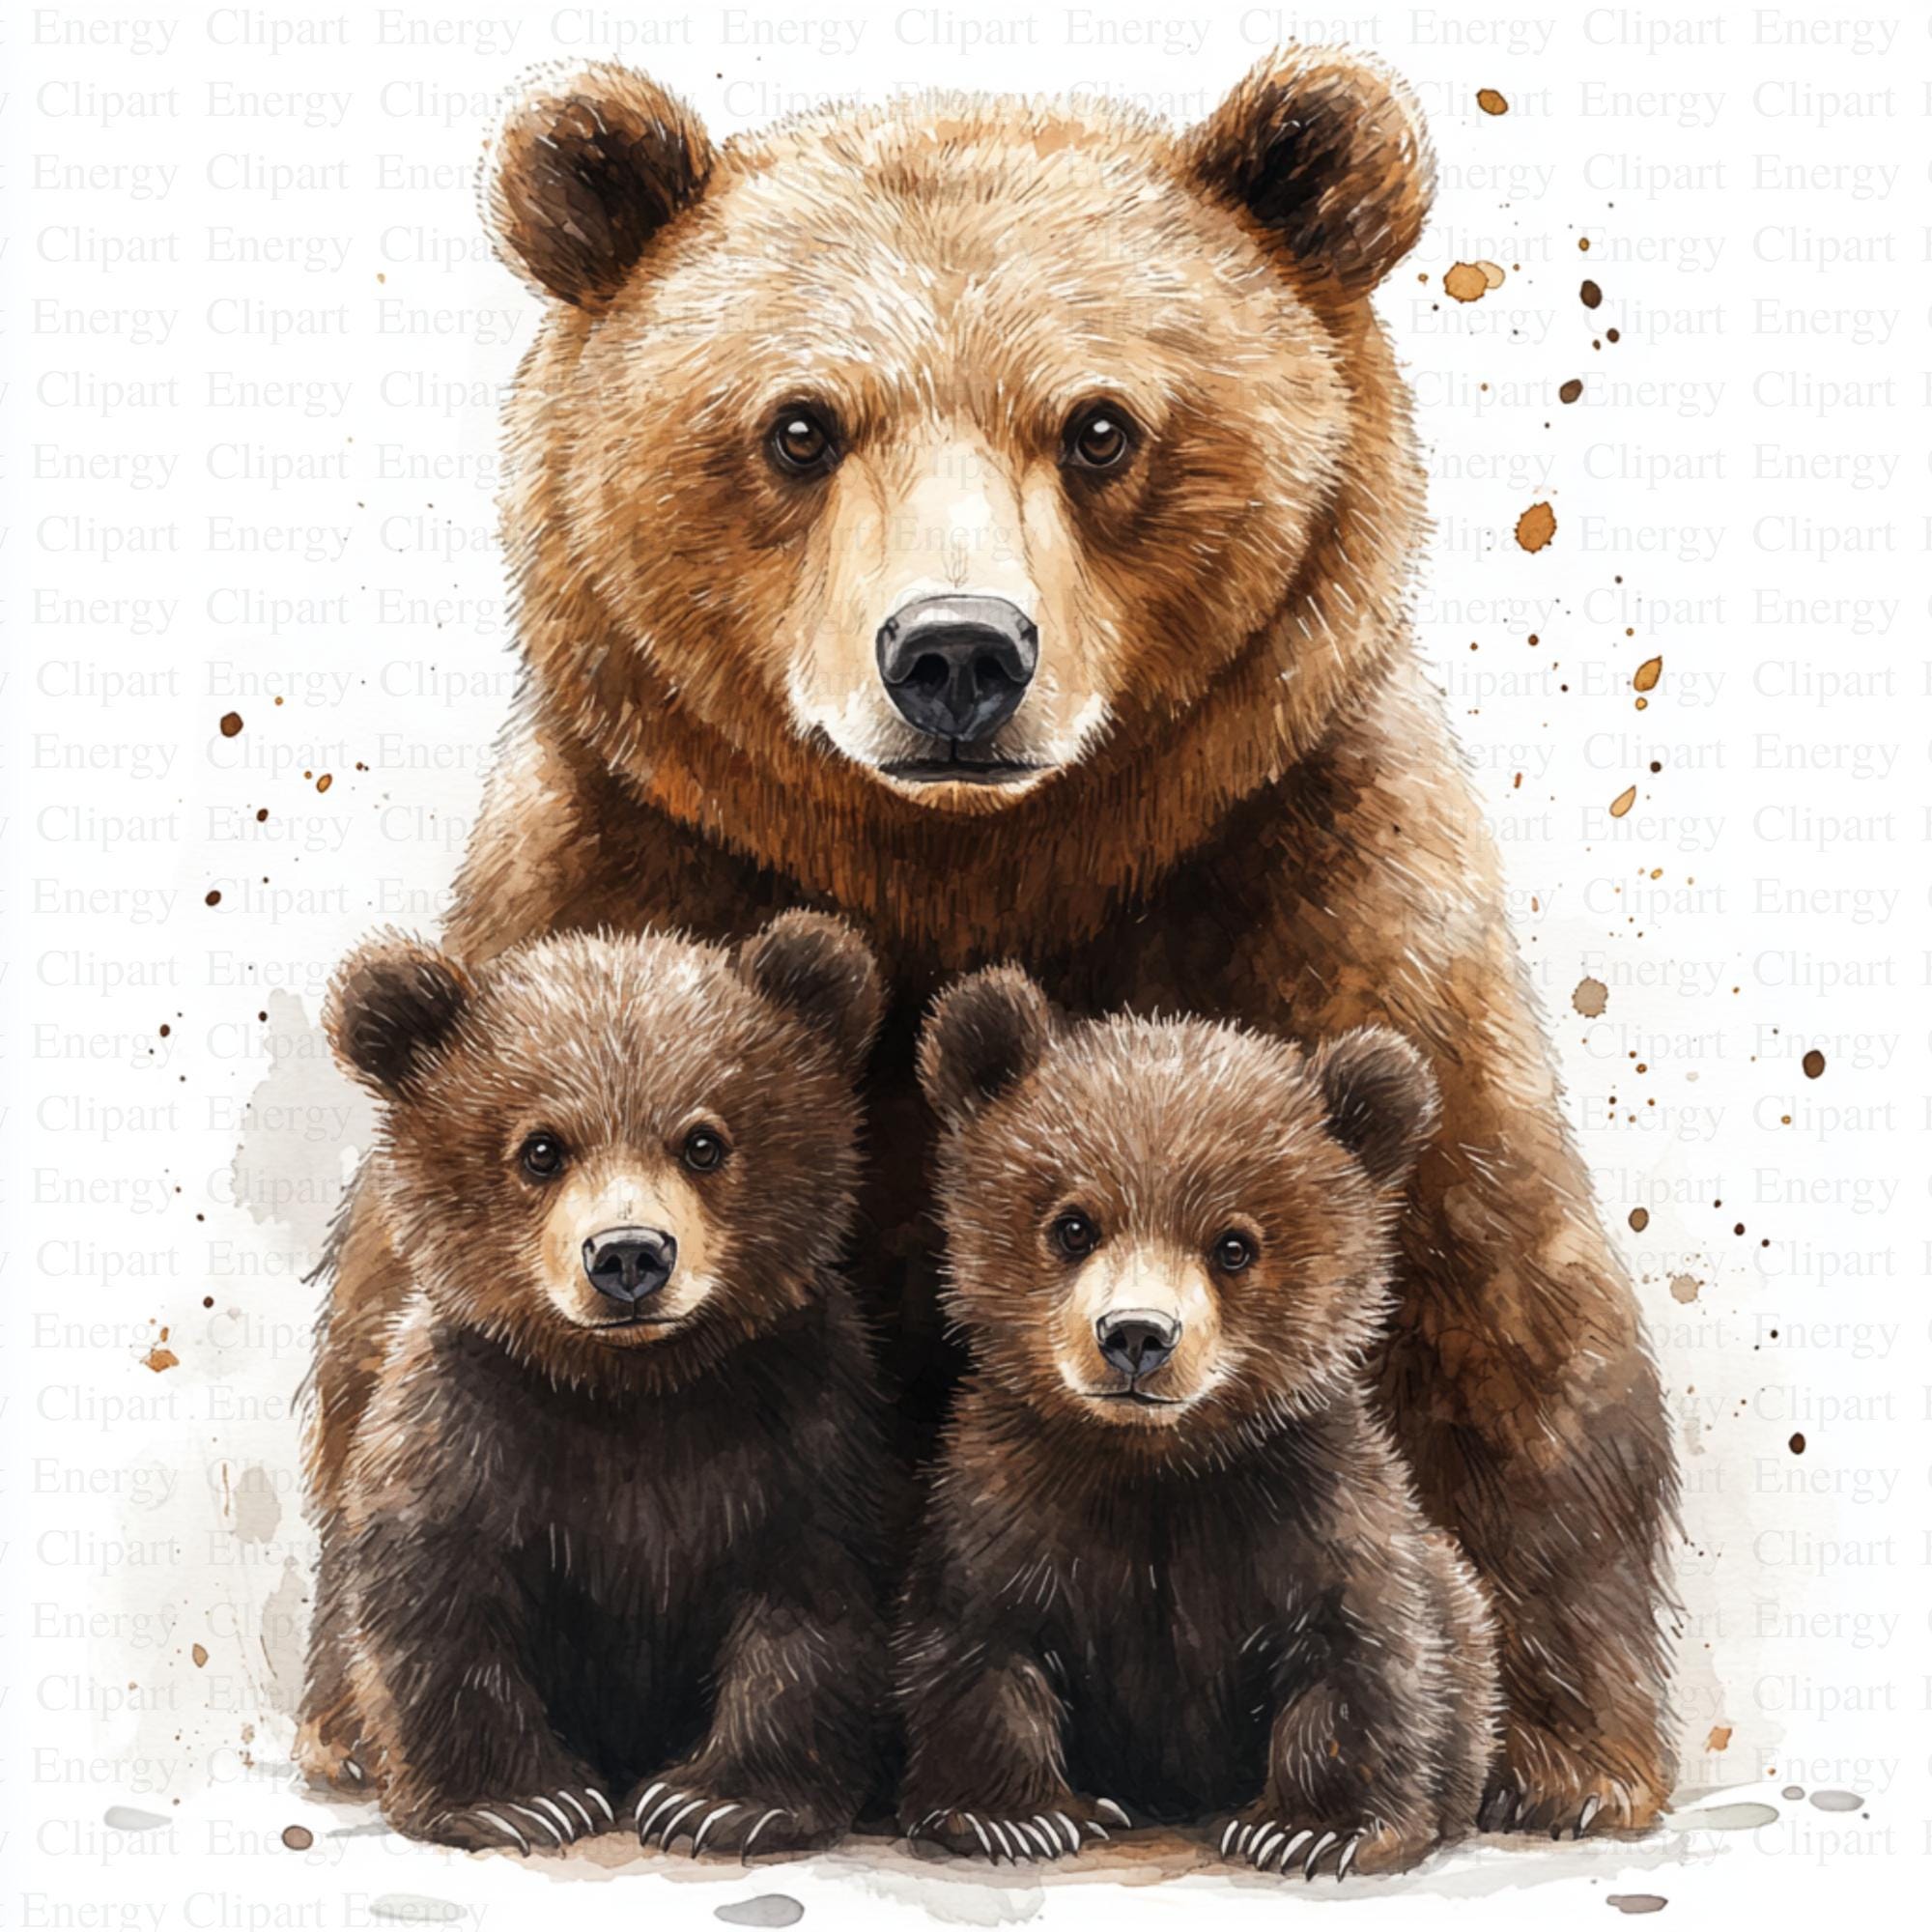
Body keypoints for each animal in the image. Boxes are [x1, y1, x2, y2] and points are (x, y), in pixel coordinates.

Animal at [299, 913, 889, 1855]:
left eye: (703, 1141)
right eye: (541, 1148)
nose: (629, 1255)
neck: (629, 1387)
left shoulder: (795, 1429)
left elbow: (808, 1606)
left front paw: (721, 1803)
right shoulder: (470, 1431)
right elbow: (437, 1607)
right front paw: (519, 1801)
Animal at [895, 967, 1499, 1877]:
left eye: (1235, 1244)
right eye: (1073, 1224)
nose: (1137, 1335)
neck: (1157, 1467)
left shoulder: (1309, 1512)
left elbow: (1362, 1655)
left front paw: (1309, 1828)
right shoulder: (1009, 1509)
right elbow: (978, 1645)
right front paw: (1015, 1817)